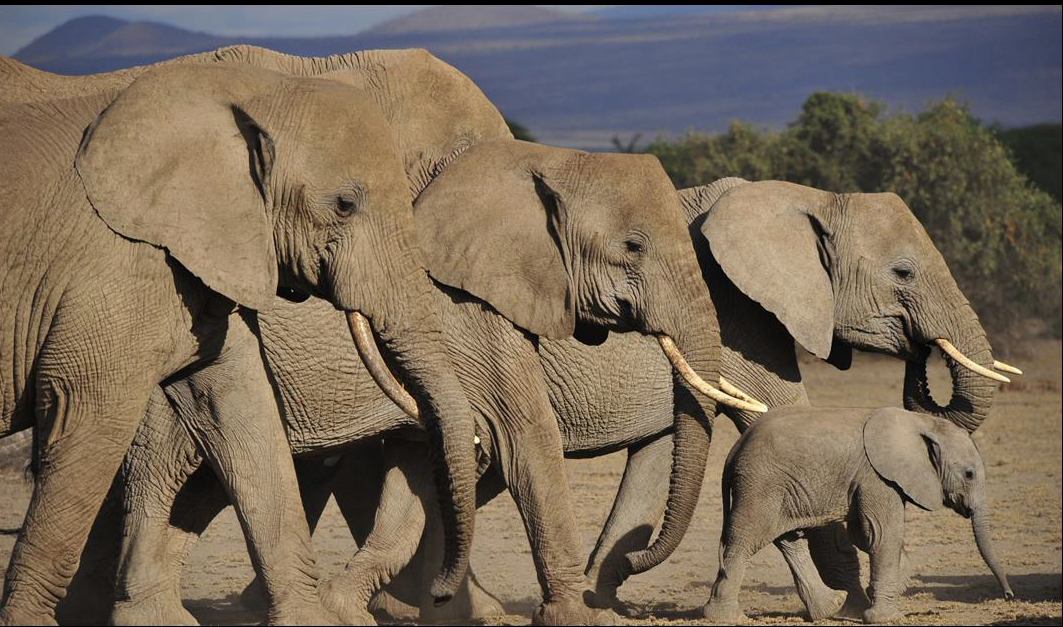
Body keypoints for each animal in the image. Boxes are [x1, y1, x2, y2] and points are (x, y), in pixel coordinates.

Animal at [0, 61, 482, 624]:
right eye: (345, 204)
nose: (440, 594)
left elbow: (240, 409)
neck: (249, 88)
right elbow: (87, 412)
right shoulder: (116, 265)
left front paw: (310, 620)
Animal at [703, 406, 1013, 623]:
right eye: (969, 474)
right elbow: (882, 534)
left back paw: (830, 608)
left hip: (783, 489)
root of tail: (734, 450)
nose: (1008, 596)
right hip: (761, 484)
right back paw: (728, 618)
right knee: (745, 541)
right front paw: (886, 618)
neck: (920, 422)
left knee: (789, 540)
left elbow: (864, 535)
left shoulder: (868, 479)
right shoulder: (877, 476)